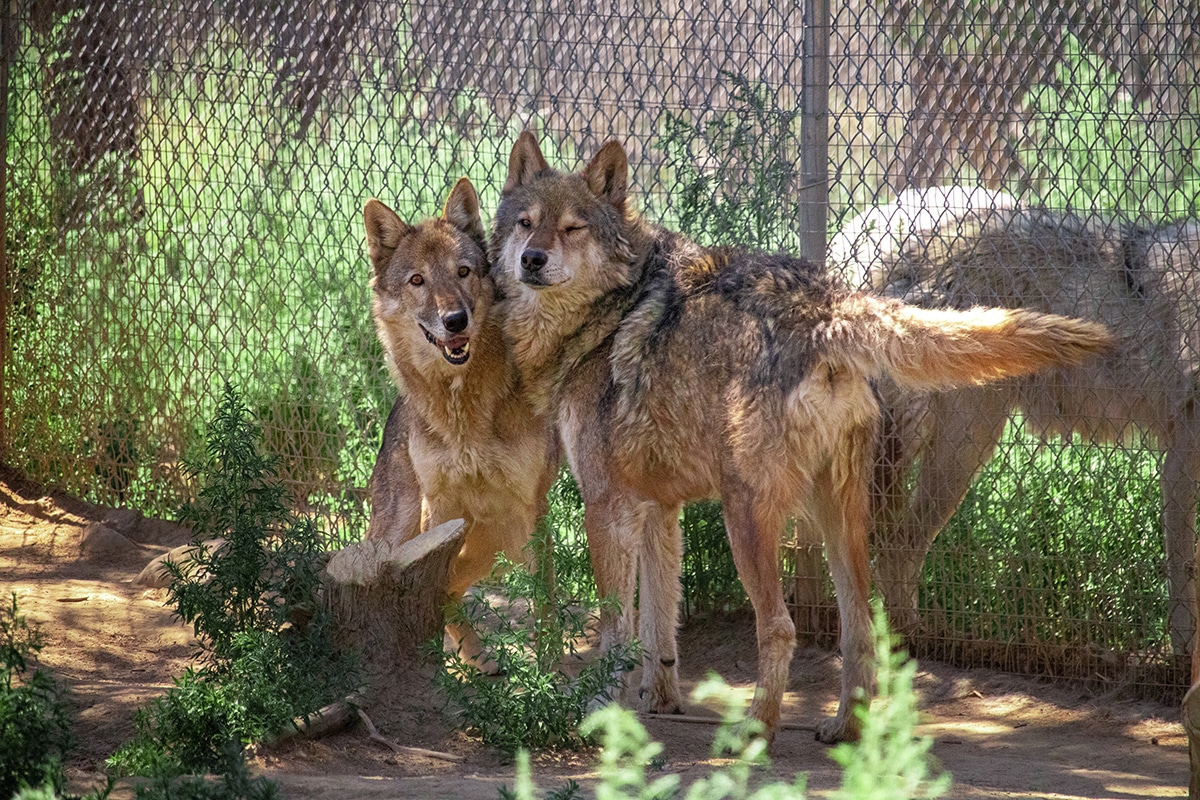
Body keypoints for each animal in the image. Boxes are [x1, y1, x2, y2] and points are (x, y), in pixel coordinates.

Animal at [362, 178, 559, 660]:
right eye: (417, 280)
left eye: (464, 272)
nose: (455, 320)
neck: (461, 410)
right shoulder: (441, 507)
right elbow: (428, 587)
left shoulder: (532, 510)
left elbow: (545, 605)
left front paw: (552, 671)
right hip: (406, 528)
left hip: (495, 543)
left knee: (451, 587)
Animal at [489, 132, 1111, 742]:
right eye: (526, 222)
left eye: (573, 228)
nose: (532, 260)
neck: (610, 310)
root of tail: (830, 306)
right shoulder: (659, 509)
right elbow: (658, 627)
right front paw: (657, 702)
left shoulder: (606, 506)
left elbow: (615, 628)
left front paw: (599, 709)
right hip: (842, 519)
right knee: (860, 628)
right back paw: (844, 729)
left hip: (747, 516)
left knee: (781, 627)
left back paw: (757, 728)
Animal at [828, 186, 1200, 657]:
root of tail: (869, 227)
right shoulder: (1181, 458)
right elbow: (1184, 570)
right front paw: (1185, 655)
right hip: (963, 446)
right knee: (896, 547)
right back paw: (910, 645)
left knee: (896, 547)